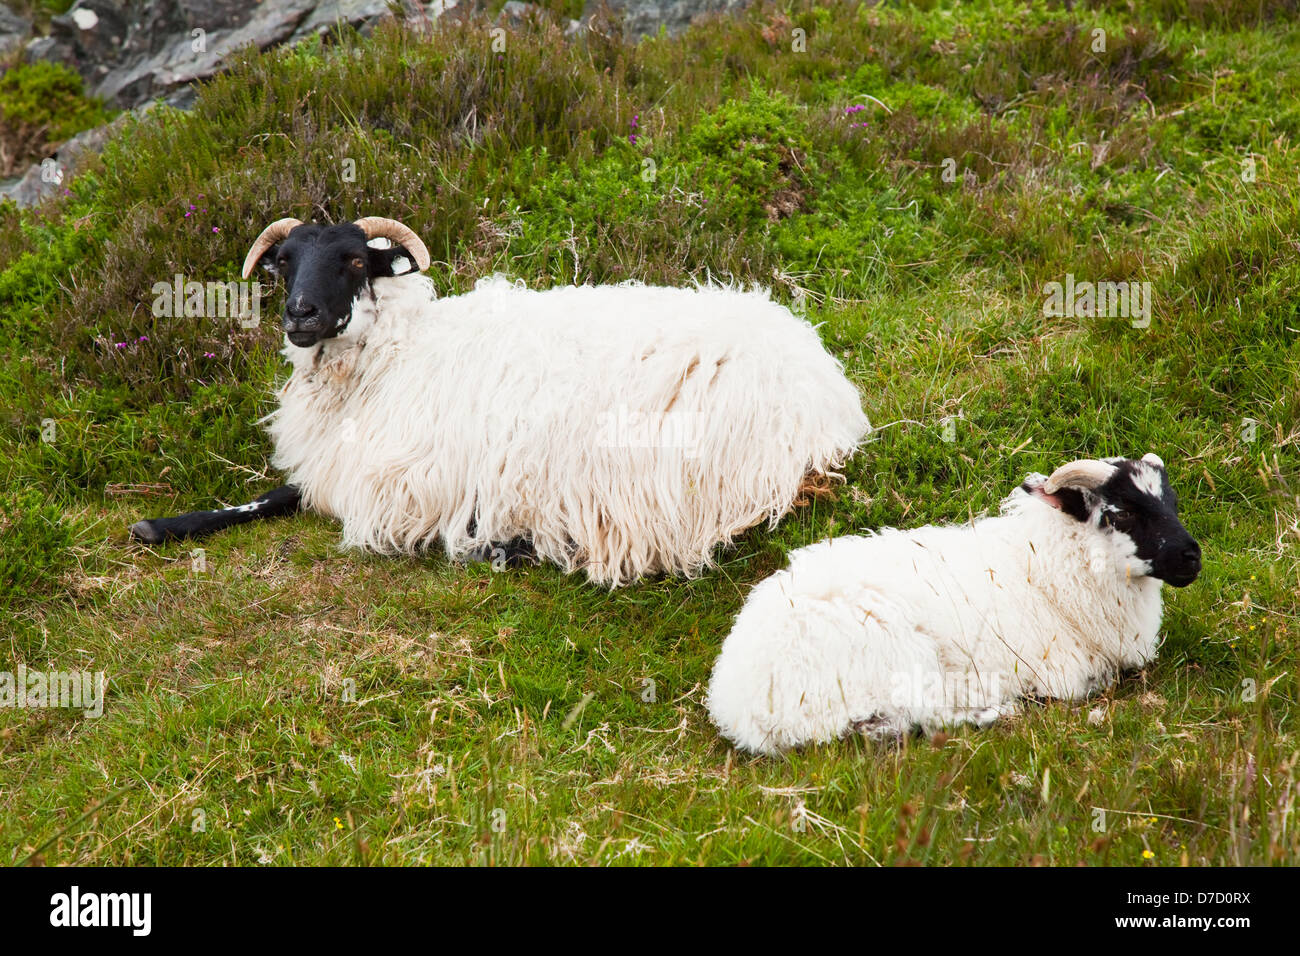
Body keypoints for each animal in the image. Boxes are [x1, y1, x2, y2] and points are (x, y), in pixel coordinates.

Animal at [130, 216, 870, 587]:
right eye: (283, 261)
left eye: (355, 261)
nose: (301, 315)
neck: (394, 354)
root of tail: (822, 398)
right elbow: (277, 493)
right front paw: (165, 525)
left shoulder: (402, 483)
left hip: (639, 472)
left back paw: (514, 547)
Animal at [705, 454, 1202, 754]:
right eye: (1123, 513)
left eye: (1173, 503)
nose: (1192, 556)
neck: (1047, 569)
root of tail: (738, 707)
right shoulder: (1062, 670)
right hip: (896, 650)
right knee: (919, 716)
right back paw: (994, 711)